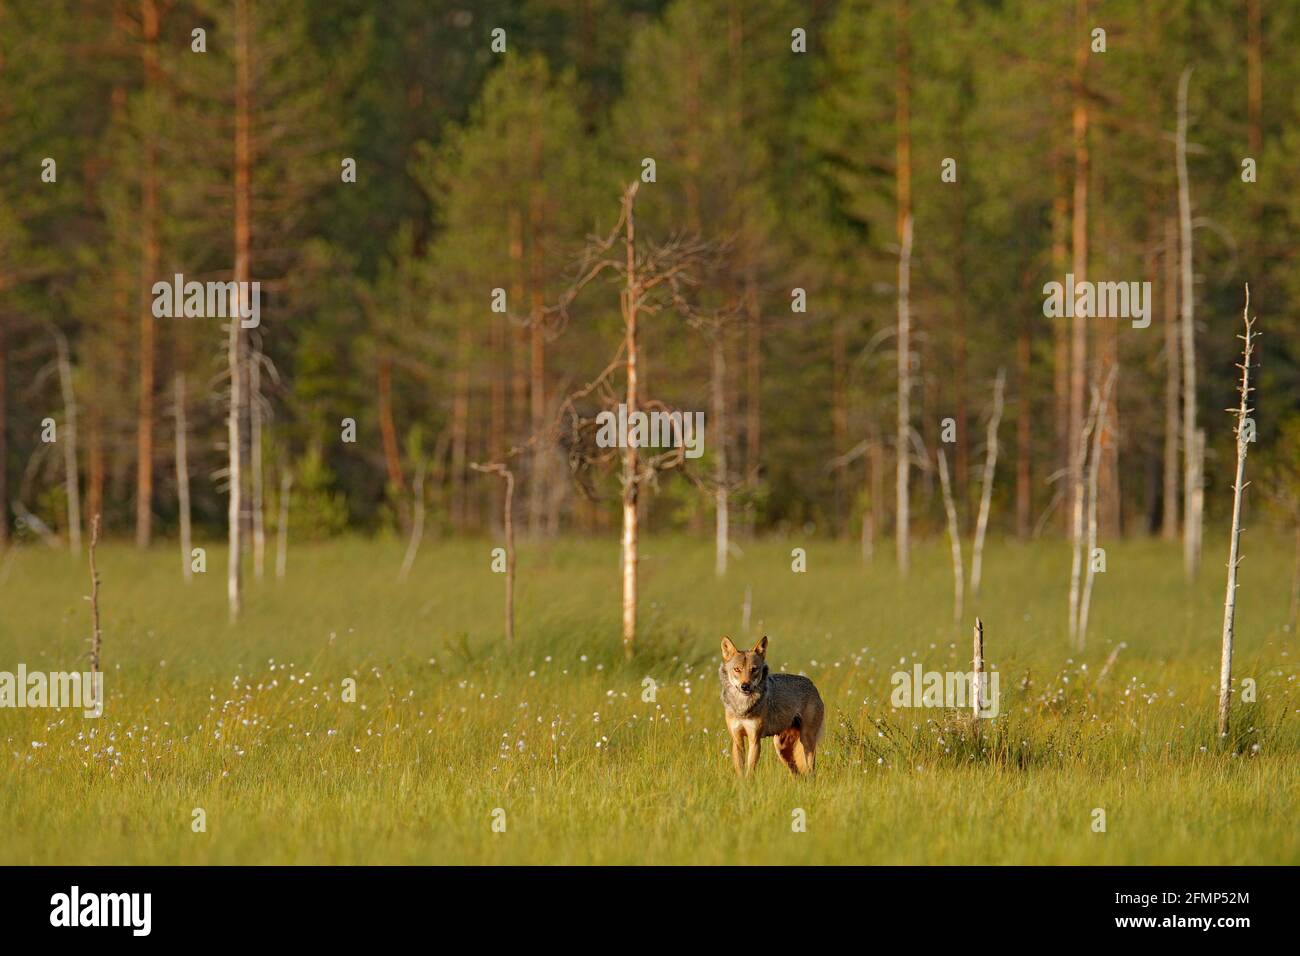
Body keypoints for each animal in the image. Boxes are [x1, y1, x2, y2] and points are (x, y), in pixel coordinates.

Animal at [718, 635, 824, 777]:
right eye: (737, 669)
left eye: (754, 669)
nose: (745, 686)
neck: (743, 708)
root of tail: (812, 684)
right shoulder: (737, 741)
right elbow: (740, 772)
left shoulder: (755, 740)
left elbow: (750, 772)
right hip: (782, 749)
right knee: (798, 775)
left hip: (806, 742)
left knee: (810, 772)